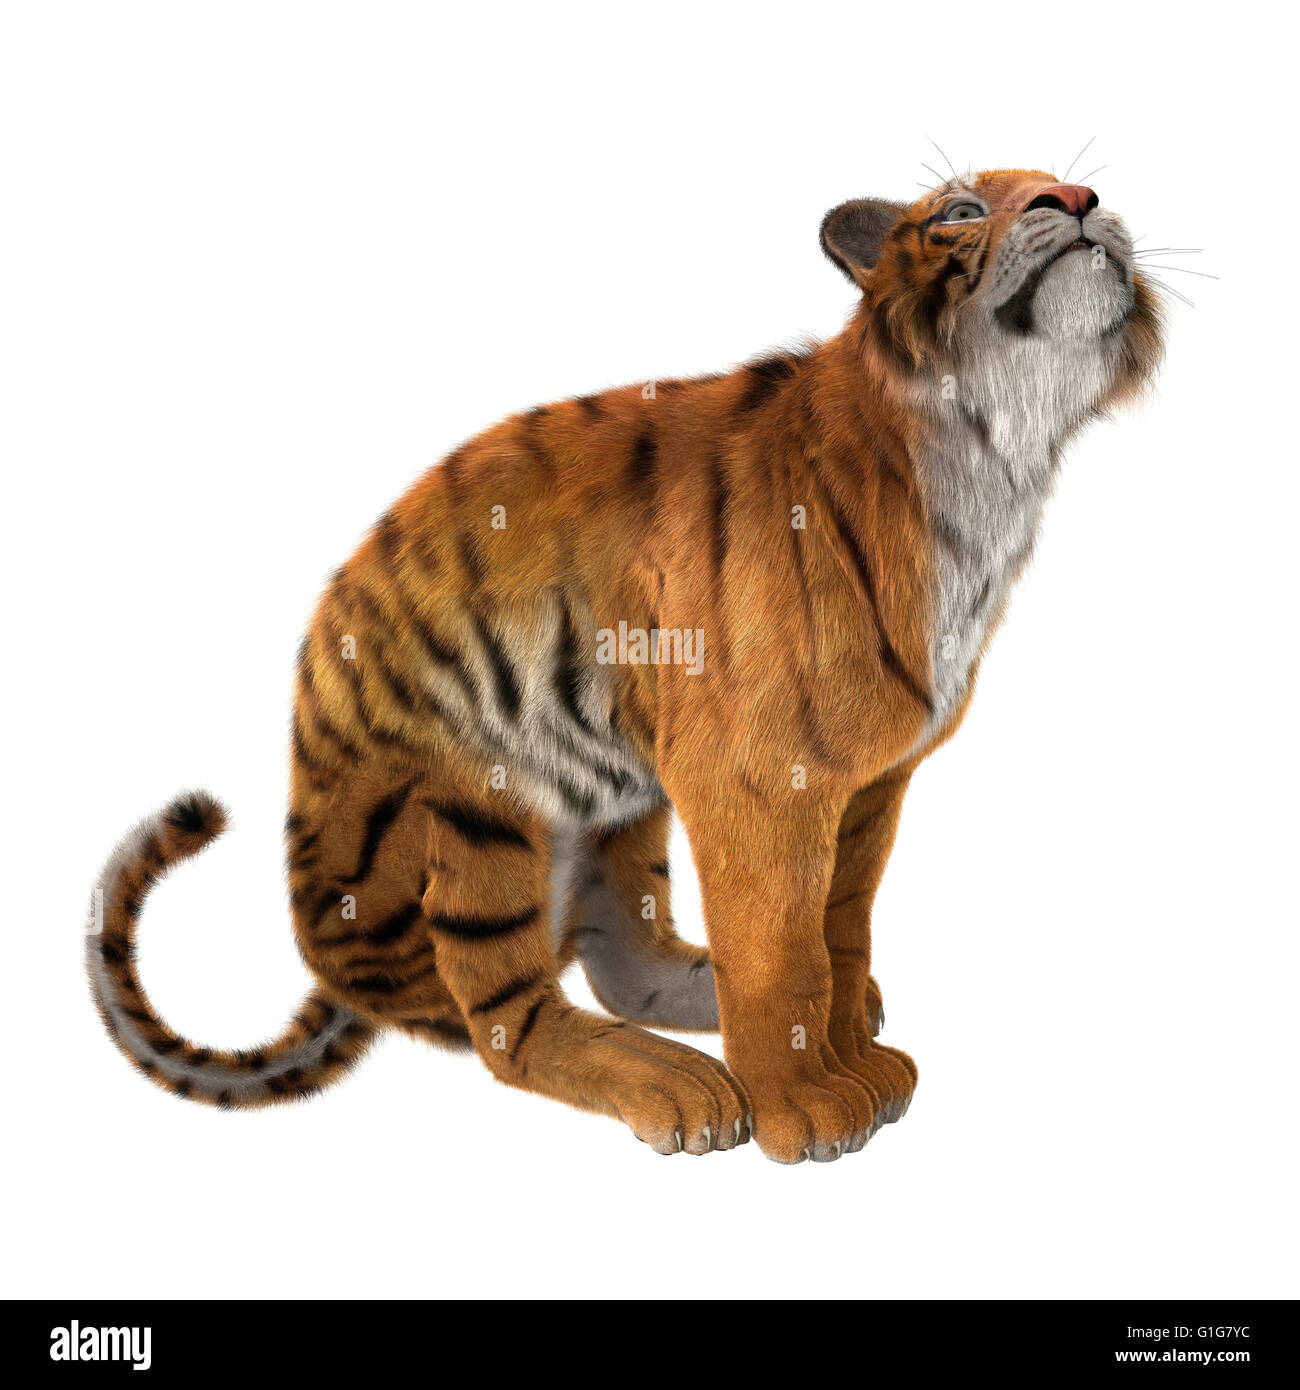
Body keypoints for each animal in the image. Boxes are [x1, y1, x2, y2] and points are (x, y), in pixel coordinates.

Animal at [88, 168, 1164, 1163]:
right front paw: (803, 1108)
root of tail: (326, 950)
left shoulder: (869, 784)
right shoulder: (755, 776)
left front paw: (857, 1055)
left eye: (1068, 182)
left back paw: (721, 1013)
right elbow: (779, 951)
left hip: (620, 790)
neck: (990, 444)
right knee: (506, 1026)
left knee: (620, 965)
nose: (1077, 198)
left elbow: (838, 927)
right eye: (959, 212)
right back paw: (683, 1086)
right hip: (476, 806)